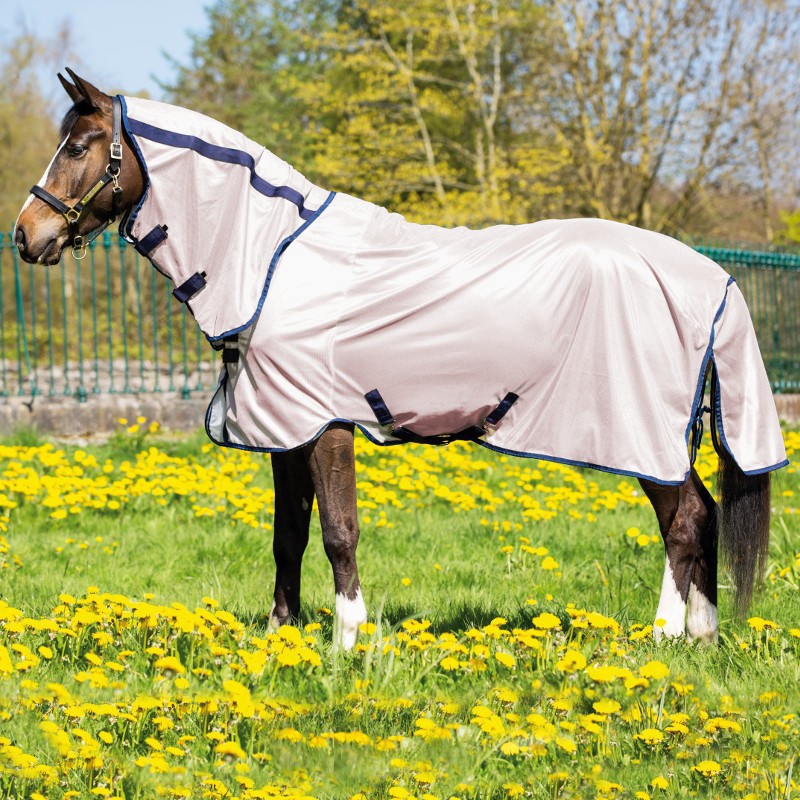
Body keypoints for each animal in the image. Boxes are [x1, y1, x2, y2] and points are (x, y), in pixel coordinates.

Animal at [15, 70, 787, 649]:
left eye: (80, 145)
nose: (27, 234)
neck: (272, 259)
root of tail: (708, 276)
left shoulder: (324, 423)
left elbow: (338, 532)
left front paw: (348, 640)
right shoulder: (284, 429)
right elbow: (288, 535)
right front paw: (282, 637)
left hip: (643, 433)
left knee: (682, 522)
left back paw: (662, 636)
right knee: (704, 515)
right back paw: (701, 636)